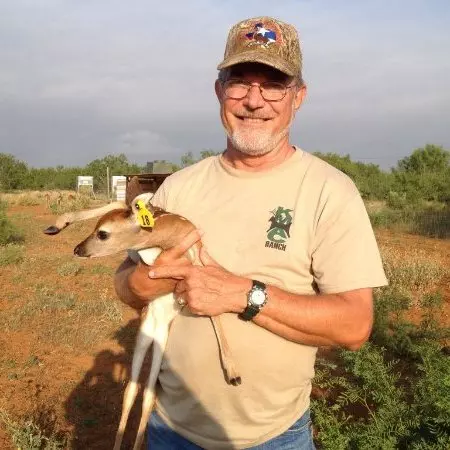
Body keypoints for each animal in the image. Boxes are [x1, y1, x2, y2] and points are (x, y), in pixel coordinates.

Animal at [43, 178, 241, 450]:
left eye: (103, 233)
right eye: (96, 228)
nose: (78, 249)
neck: (164, 239)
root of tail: (155, 326)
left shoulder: (198, 264)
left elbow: (215, 312)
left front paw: (233, 373)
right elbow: (117, 204)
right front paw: (56, 225)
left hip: (159, 345)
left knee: (147, 395)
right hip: (143, 340)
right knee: (131, 392)